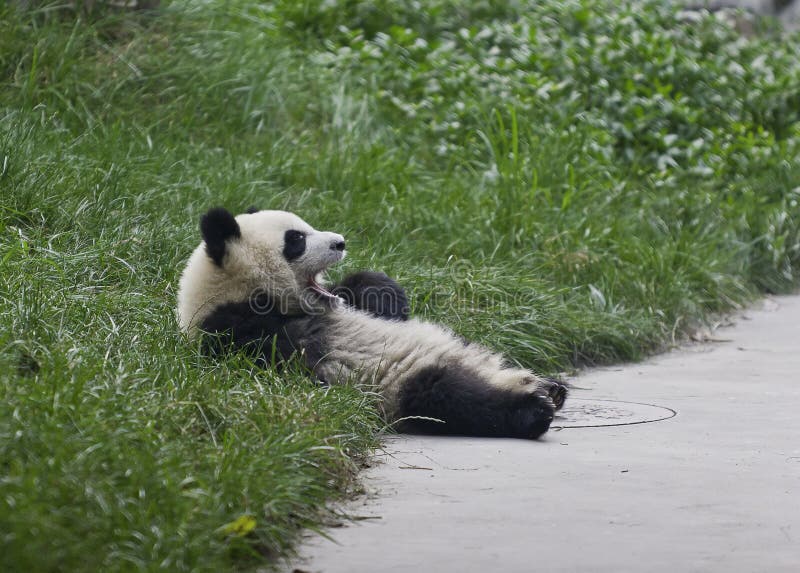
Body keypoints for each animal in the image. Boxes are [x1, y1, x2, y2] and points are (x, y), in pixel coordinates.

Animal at [177, 207, 567, 439]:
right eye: (296, 240)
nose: (340, 242)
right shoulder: (233, 330)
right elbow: (286, 355)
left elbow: (371, 297)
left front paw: (379, 291)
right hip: (405, 385)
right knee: (457, 398)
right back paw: (535, 407)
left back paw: (553, 387)